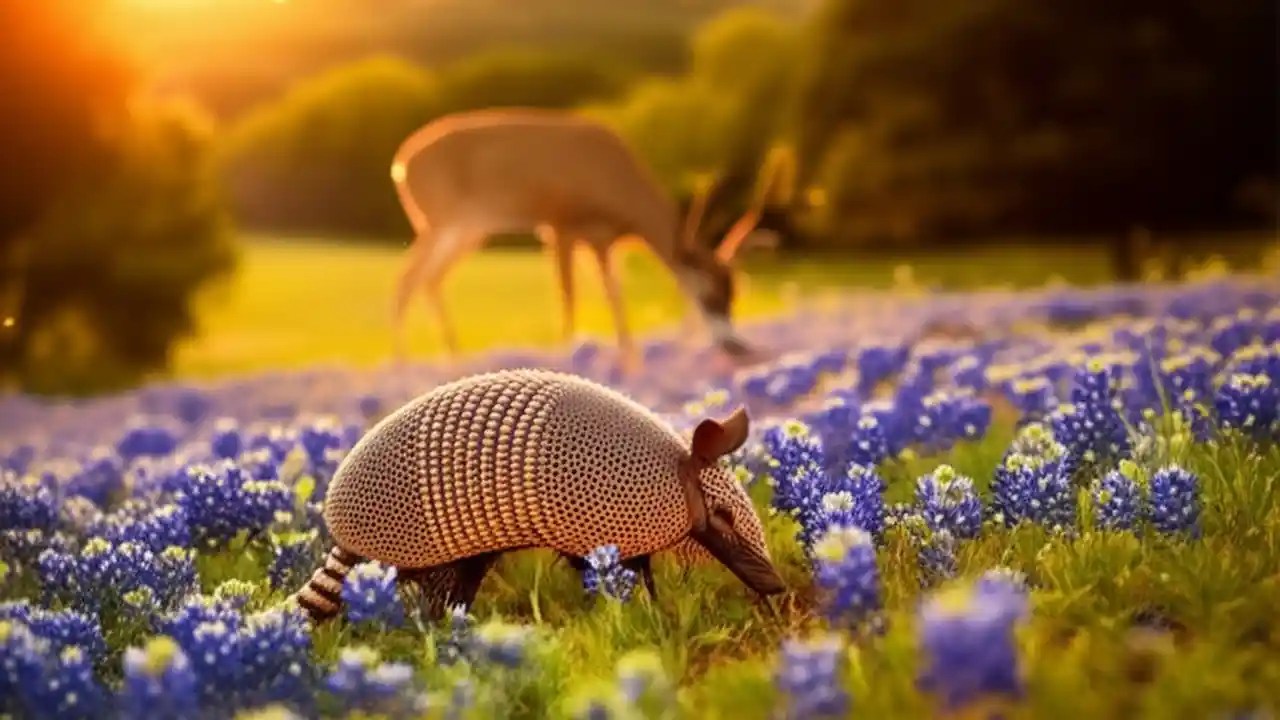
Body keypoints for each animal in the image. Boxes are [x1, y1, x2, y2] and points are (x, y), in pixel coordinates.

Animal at [387, 108, 782, 370]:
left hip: (469, 230)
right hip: (443, 224)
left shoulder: (601, 241)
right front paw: (571, 364)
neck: (613, 168)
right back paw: (405, 369)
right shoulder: (560, 228)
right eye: (710, 296)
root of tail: (403, 162)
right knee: (406, 281)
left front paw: (632, 365)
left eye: (734, 293)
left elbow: (614, 297)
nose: (737, 348)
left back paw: (455, 363)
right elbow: (569, 296)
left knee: (428, 280)